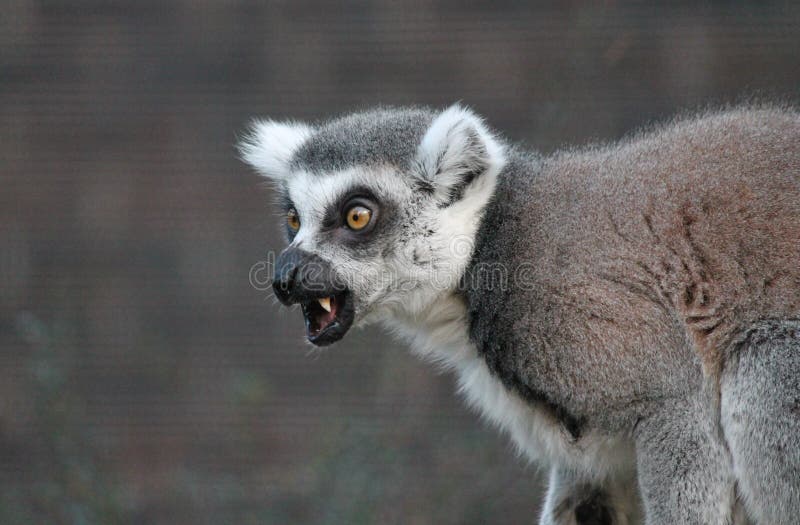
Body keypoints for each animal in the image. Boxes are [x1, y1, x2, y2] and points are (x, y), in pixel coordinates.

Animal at [239, 103, 800, 524]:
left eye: (357, 215)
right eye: (293, 219)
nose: (285, 275)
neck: (488, 251)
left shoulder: (579, 319)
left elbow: (674, 403)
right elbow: (588, 486)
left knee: (762, 370)